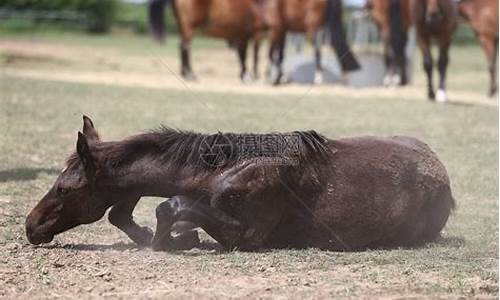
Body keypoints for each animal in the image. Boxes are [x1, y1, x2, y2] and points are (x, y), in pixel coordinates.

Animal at [23, 116, 456, 252]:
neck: (223, 168)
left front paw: (173, 240)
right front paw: (169, 236)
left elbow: (169, 206)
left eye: (64, 189)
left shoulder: (249, 235)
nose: (30, 225)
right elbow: (124, 212)